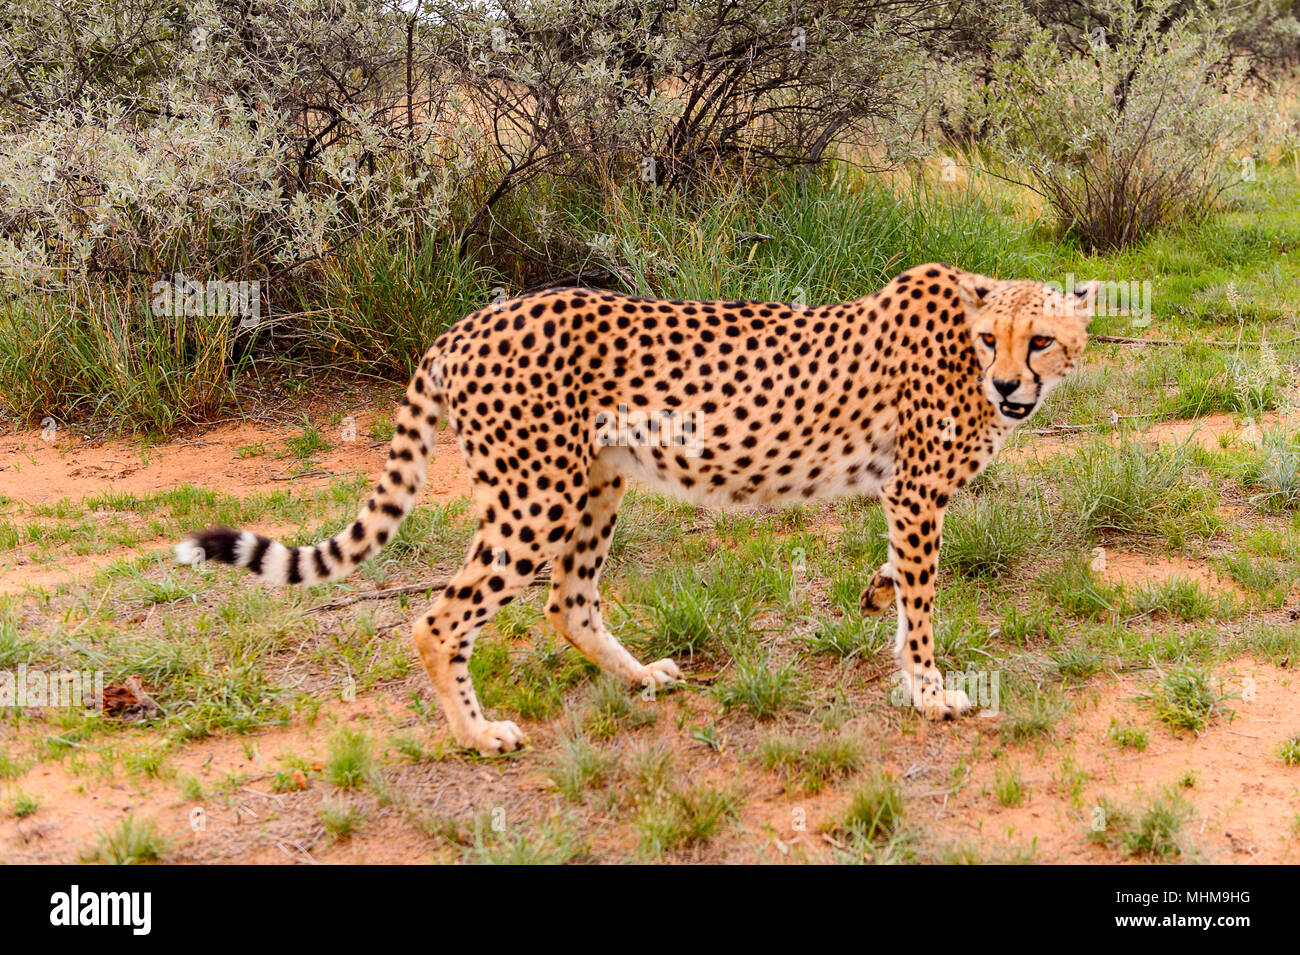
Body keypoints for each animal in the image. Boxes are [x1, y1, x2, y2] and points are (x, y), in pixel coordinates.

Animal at [176, 263, 1097, 755]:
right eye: (992, 341)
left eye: (1042, 340)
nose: (1010, 386)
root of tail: (466, 323)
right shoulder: (915, 491)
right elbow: (927, 601)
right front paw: (932, 692)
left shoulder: (906, 495)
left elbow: (906, 585)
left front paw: (881, 602)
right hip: (534, 497)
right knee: (442, 617)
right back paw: (480, 734)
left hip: (594, 483)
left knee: (567, 600)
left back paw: (639, 676)